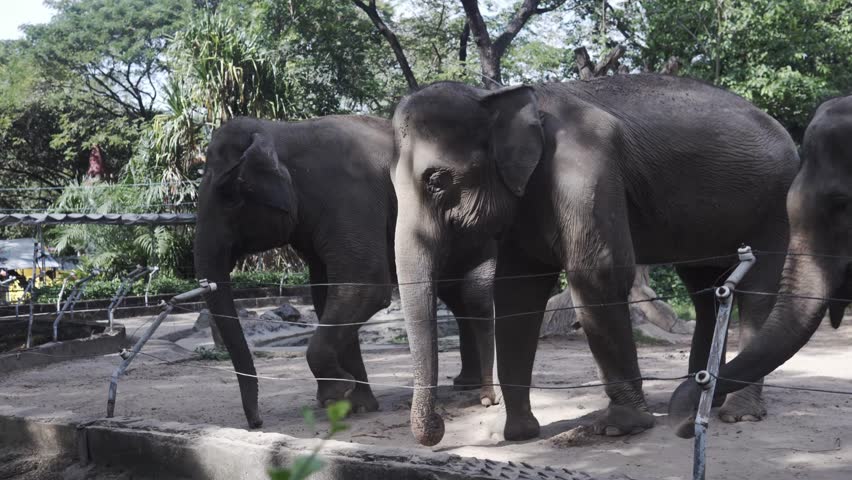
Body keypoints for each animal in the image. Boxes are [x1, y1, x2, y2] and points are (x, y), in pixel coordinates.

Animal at [193, 115, 497, 429]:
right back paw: (465, 384)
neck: (283, 132)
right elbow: (328, 294)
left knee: (473, 296)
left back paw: (480, 392)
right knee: (458, 298)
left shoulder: (350, 201)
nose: (257, 422)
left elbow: (364, 284)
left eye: (229, 195)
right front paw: (357, 405)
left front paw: (336, 392)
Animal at [390, 74, 800, 446]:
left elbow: (598, 273)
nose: (438, 429)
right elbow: (516, 291)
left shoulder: (585, 166)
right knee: (705, 291)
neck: (496, 94)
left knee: (758, 291)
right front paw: (517, 434)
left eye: (437, 180)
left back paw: (737, 412)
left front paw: (618, 426)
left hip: (774, 205)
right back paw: (702, 398)